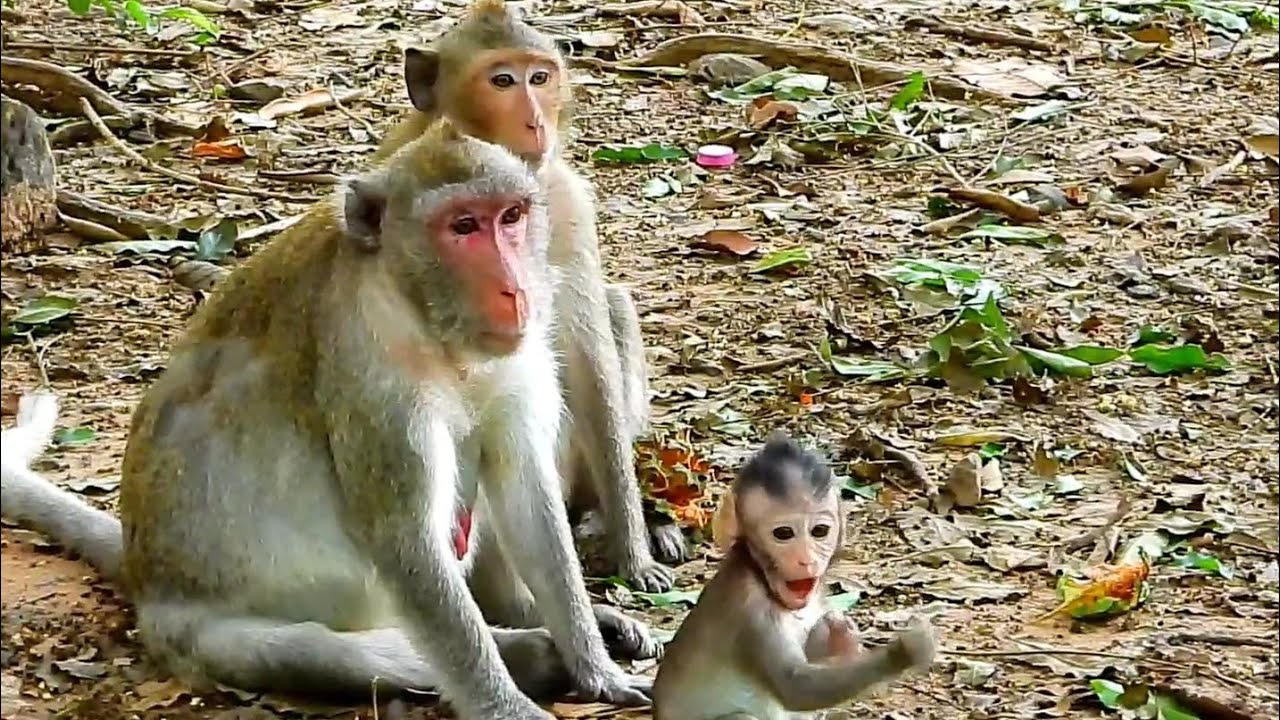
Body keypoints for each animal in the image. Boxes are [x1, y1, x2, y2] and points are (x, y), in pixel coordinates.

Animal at [0, 119, 656, 720]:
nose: (513, 290)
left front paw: (595, 666)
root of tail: (141, 570)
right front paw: (511, 708)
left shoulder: (517, 356)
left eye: (511, 216)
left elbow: (527, 493)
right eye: (463, 226)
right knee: (337, 655)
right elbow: (403, 540)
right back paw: (526, 655)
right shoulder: (371, 378)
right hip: (204, 635)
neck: (429, 325)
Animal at [369, 0, 688, 593]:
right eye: (501, 81)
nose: (536, 120)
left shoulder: (565, 199)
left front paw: (633, 548)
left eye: (539, 77)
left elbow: (588, 357)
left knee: (614, 307)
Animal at [651, 433, 938, 720]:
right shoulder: (748, 605)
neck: (760, 574)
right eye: (783, 534)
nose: (807, 559)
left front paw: (841, 636)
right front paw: (904, 652)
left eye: (819, 531)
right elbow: (795, 687)